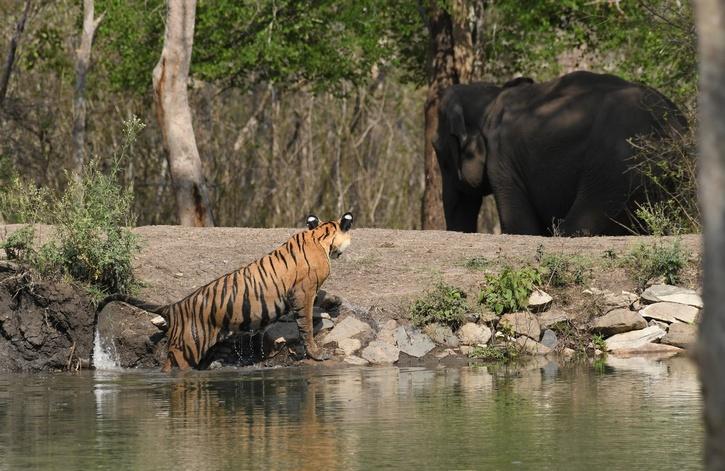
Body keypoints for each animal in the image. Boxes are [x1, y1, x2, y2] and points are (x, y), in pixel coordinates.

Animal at [96, 212, 354, 371]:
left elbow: (322, 297)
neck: (319, 236)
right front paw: (317, 354)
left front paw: (335, 300)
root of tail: (175, 306)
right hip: (186, 348)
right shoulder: (303, 292)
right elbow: (306, 325)